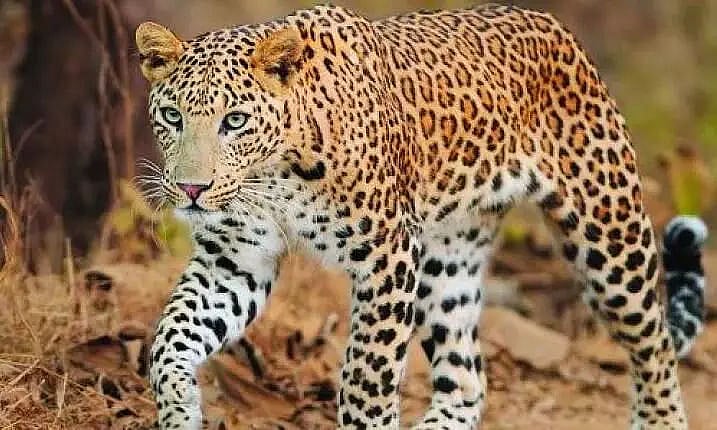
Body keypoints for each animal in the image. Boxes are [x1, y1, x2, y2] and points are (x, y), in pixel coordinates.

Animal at [134, 4, 708, 429]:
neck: (274, 173)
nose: (192, 189)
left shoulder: (385, 257)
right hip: (447, 257)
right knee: (468, 377)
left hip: (608, 230)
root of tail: (557, 26)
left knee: (654, 342)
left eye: (235, 121)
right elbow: (169, 340)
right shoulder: (233, 261)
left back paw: (662, 415)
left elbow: (366, 379)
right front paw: (180, 410)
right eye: (172, 116)